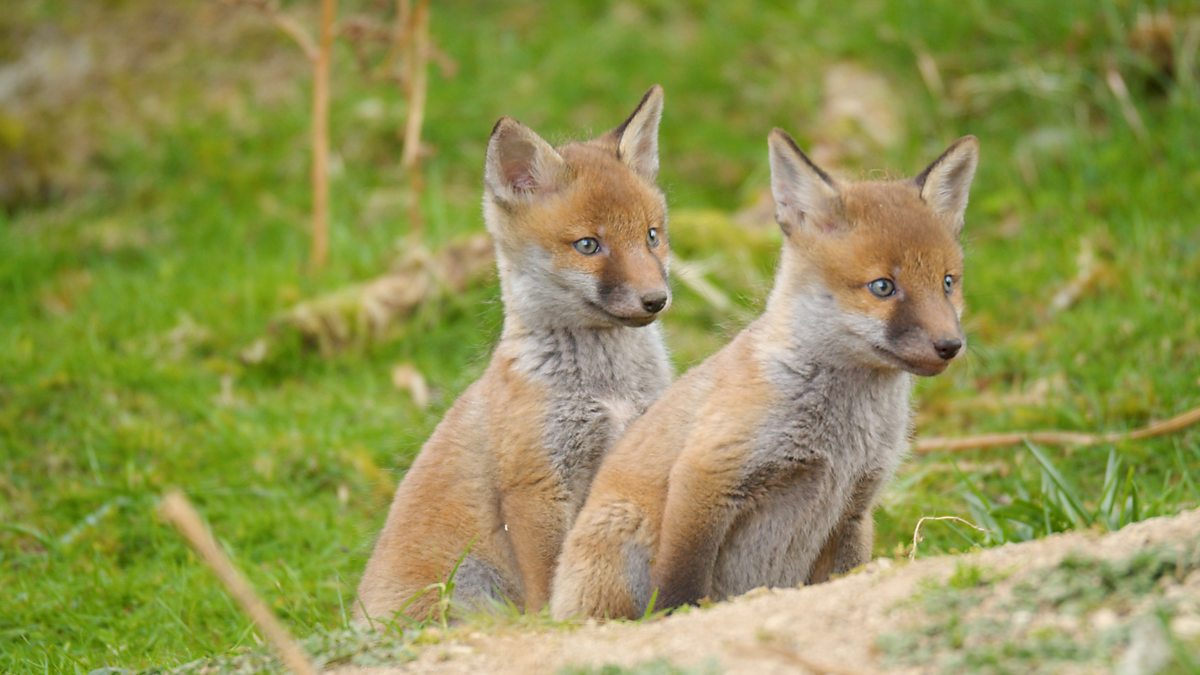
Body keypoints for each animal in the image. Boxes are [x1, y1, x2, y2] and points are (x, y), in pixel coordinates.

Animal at [357, 86, 674, 622]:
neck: (607, 389)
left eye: (651, 235)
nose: (656, 300)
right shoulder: (536, 486)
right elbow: (550, 581)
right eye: (588, 245)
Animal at [550, 129, 979, 620]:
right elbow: (681, 584)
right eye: (883, 287)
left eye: (948, 282)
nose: (950, 345)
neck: (843, 434)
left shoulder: (855, 505)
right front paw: (680, 615)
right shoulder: (707, 474)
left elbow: (847, 573)